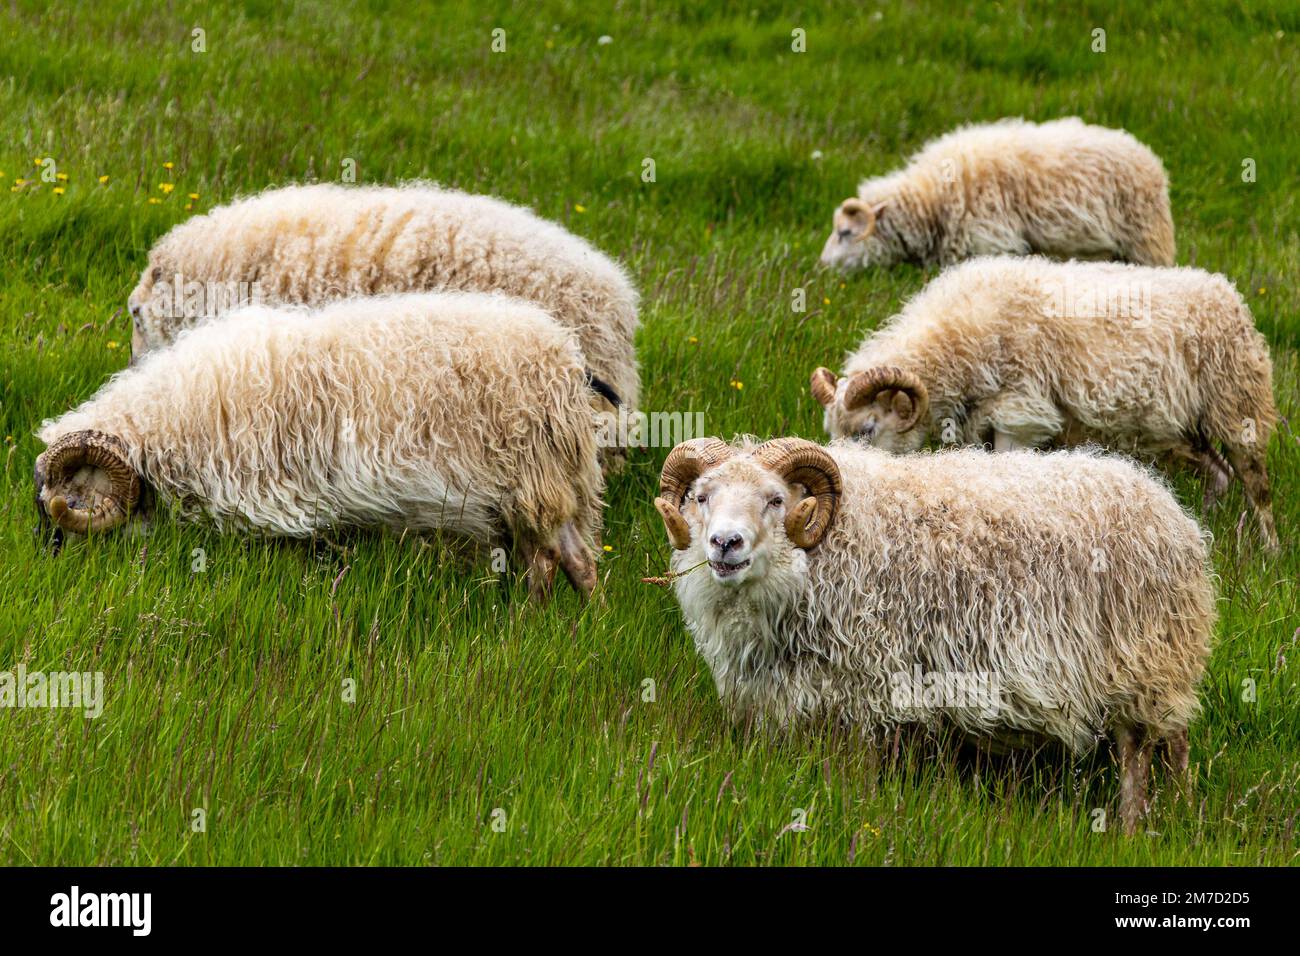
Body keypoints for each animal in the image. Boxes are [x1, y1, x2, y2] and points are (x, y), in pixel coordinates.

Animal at [35, 291, 604, 601]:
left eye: (62, 502)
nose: (48, 561)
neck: (165, 426)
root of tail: (564, 360)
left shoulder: (279, 506)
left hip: (529, 483)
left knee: (546, 564)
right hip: (550, 487)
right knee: (576, 561)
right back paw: (583, 624)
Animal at [651, 436, 1215, 834]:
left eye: (774, 498)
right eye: (702, 496)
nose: (725, 543)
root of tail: (1169, 507)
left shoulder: (868, 688)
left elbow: (859, 774)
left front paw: (853, 814)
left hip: (1151, 660)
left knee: (1155, 748)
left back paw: (1153, 822)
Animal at [810, 256, 1279, 549]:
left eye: (867, 429)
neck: (955, 341)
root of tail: (1227, 293)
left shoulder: (1020, 414)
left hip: (1238, 405)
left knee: (1257, 486)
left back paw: (1268, 550)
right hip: (1187, 428)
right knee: (1220, 475)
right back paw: (1207, 525)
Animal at [819, 117, 1175, 270]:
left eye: (845, 233)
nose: (821, 266)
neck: (932, 200)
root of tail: (1148, 158)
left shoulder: (992, 242)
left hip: (1146, 243)